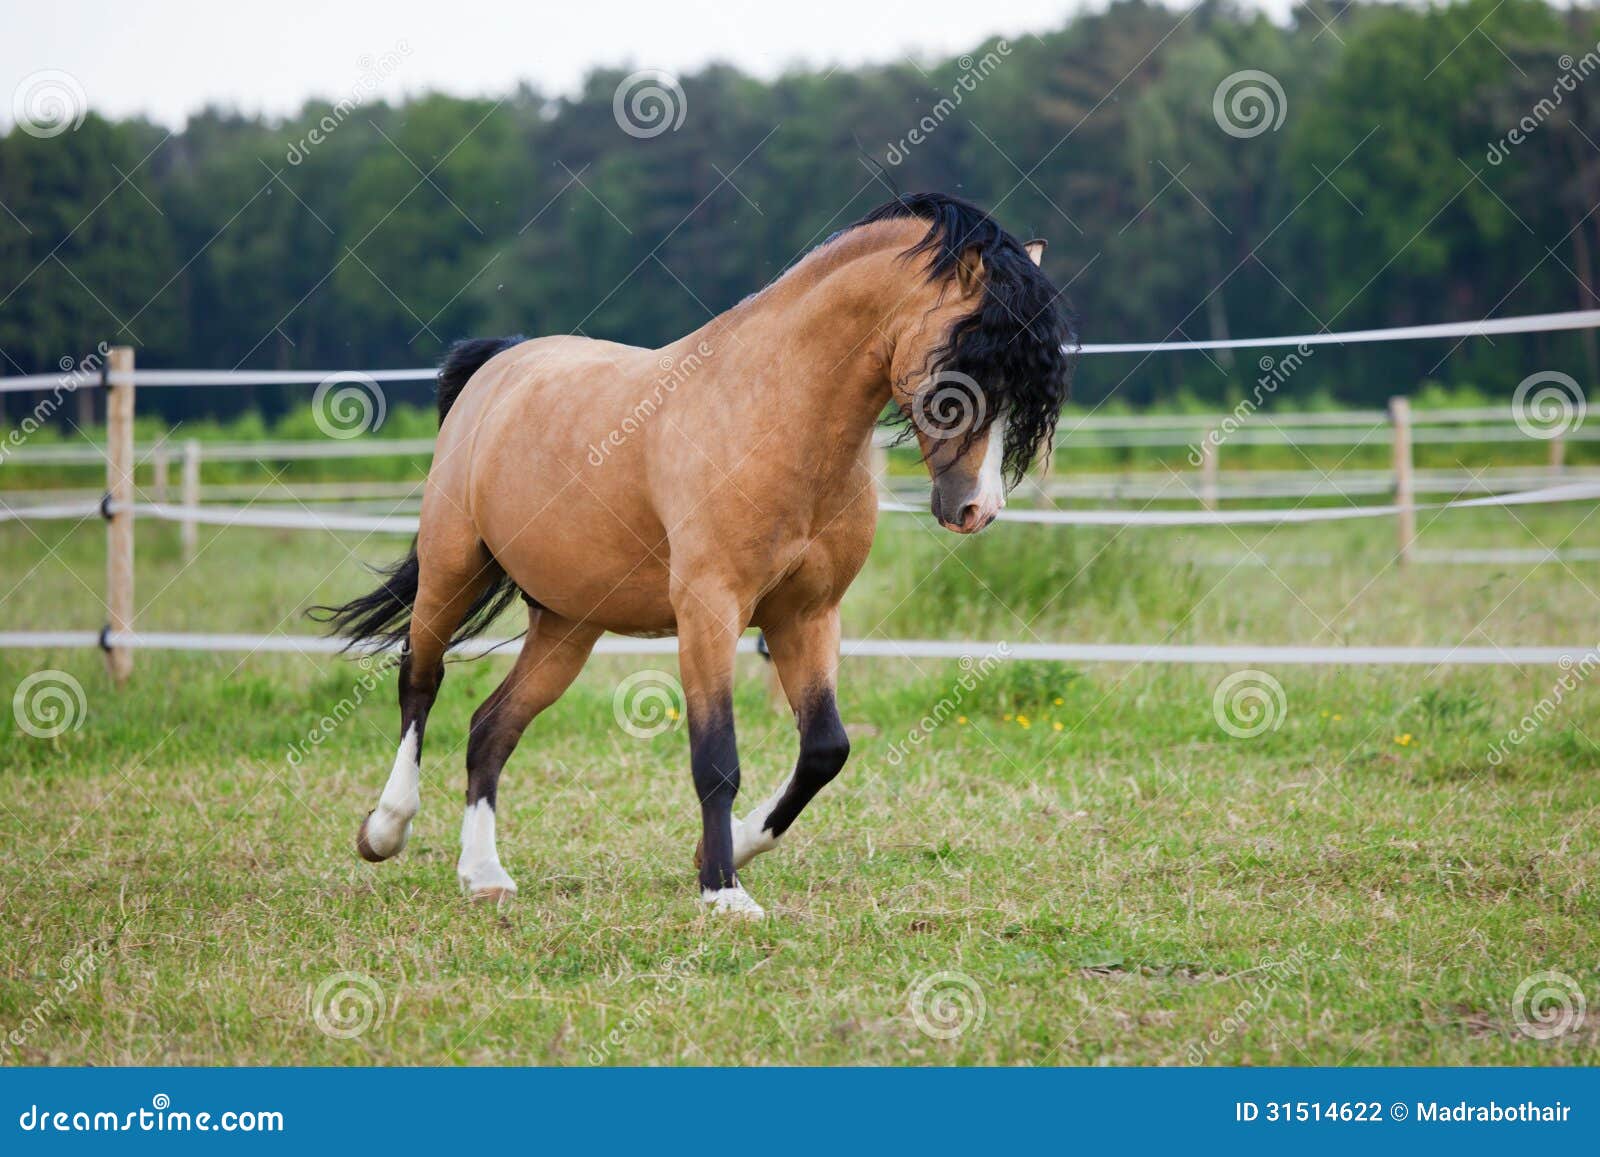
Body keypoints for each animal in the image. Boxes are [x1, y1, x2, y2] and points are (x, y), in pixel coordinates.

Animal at [313, 191, 1076, 919]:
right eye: (964, 370)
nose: (977, 510)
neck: (773, 413)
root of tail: (501, 362)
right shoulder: (710, 610)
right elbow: (716, 758)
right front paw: (723, 891)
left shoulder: (806, 613)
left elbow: (825, 748)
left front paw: (730, 847)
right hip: (453, 568)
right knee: (421, 679)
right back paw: (385, 829)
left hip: (567, 625)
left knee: (490, 729)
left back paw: (484, 875)